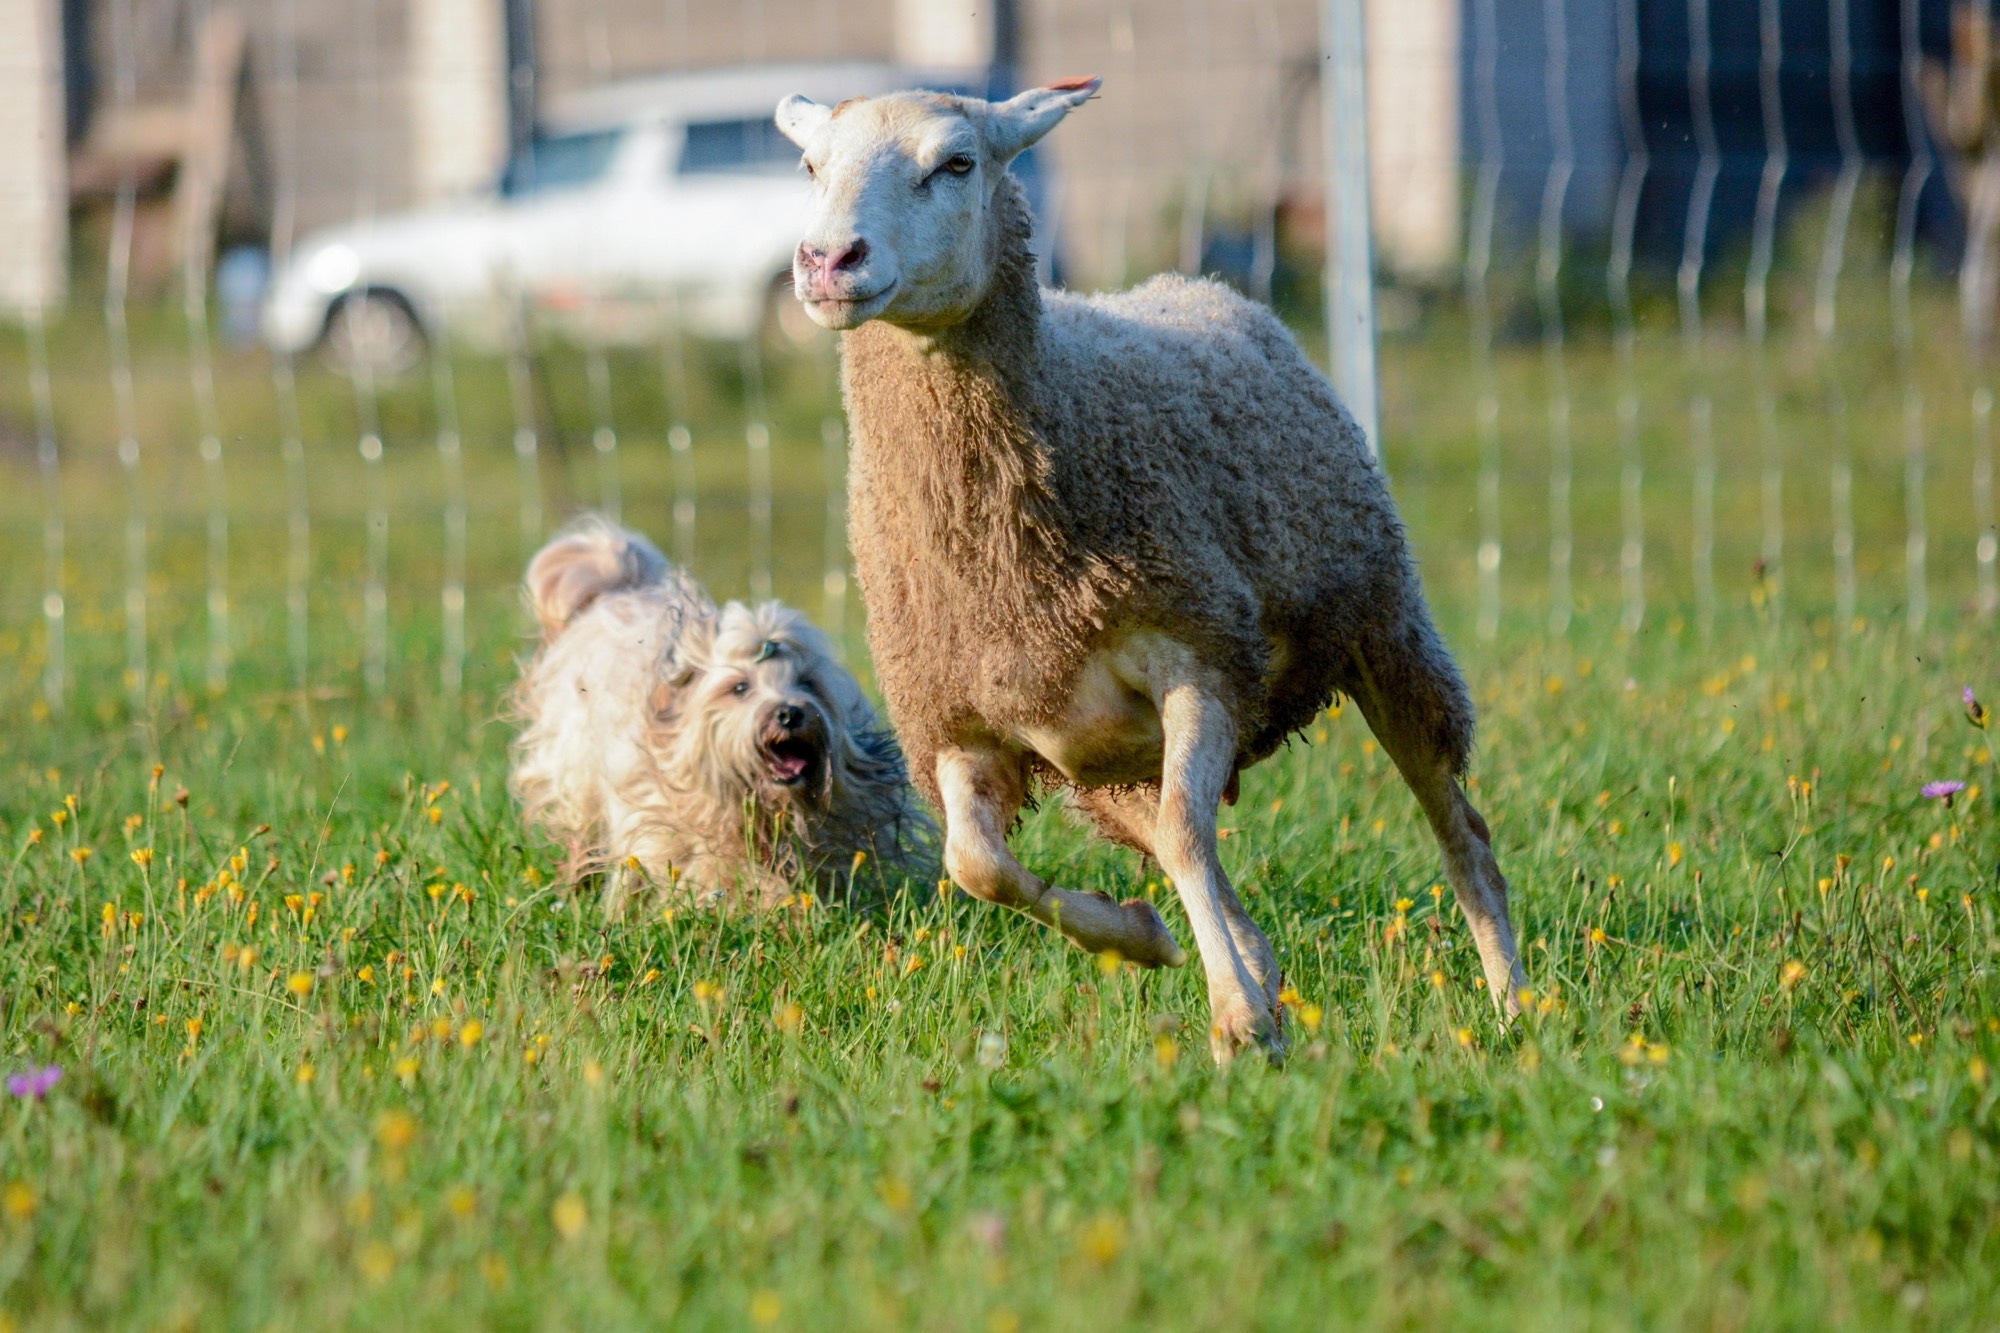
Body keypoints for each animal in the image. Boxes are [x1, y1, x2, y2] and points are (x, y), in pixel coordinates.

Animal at [772, 75, 1520, 1056]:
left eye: (957, 163)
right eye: (810, 166)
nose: (828, 260)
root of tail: (1195, 283)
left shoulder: (1202, 658)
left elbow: (1185, 840)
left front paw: (1235, 1014)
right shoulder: (958, 717)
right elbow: (979, 866)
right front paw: (1147, 941)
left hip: (1381, 626)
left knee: (1457, 828)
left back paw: (1513, 1005)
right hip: (1111, 764)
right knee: (1164, 834)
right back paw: (1254, 964)